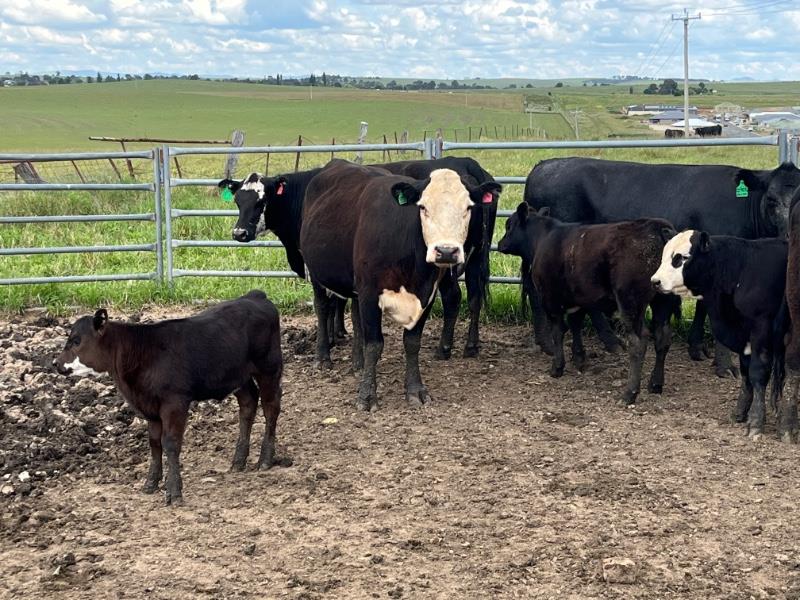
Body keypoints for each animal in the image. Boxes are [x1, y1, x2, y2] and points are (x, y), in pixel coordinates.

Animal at [54, 290, 285, 505]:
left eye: (76, 341)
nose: (56, 363)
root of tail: (255, 296)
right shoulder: (150, 408)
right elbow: (155, 443)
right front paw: (150, 484)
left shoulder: (174, 403)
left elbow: (171, 443)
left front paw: (174, 491)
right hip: (238, 376)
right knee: (248, 404)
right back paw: (238, 461)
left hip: (269, 368)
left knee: (270, 407)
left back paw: (265, 459)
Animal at [300, 159, 501, 410]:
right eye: (423, 207)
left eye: (468, 208)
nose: (446, 251)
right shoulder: (369, 292)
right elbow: (374, 344)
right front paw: (367, 396)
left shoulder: (427, 293)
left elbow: (412, 342)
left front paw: (415, 390)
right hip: (317, 273)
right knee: (322, 307)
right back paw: (322, 357)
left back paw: (357, 362)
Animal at [498, 203, 680, 405]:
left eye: (509, 225)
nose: (499, 244)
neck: (543, 238)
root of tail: (657, 228)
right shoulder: (578, 298)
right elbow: (575, 324)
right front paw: (579, 358)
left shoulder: (550, 299)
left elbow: (558, 331)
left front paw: (557, 367)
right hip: (662, 301)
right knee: (663, 338)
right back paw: (655, 384)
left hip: (630, 301)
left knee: (638, 342)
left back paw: (629, 393)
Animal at [524, 157, 800, 376]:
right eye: (771, 200)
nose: (790, 236)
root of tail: (544, 165)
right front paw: (724, 365)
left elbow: (701, 307)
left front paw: (697, 347)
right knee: (537, 291)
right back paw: (551, 342)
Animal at [651, 232, 788, 440]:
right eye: (664, 256)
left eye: (682, 258)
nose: (655, 281)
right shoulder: (743, 337)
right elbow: (746, 374)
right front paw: (739, 412)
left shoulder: (761, 330)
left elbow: (758, 373)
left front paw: (756, 421)